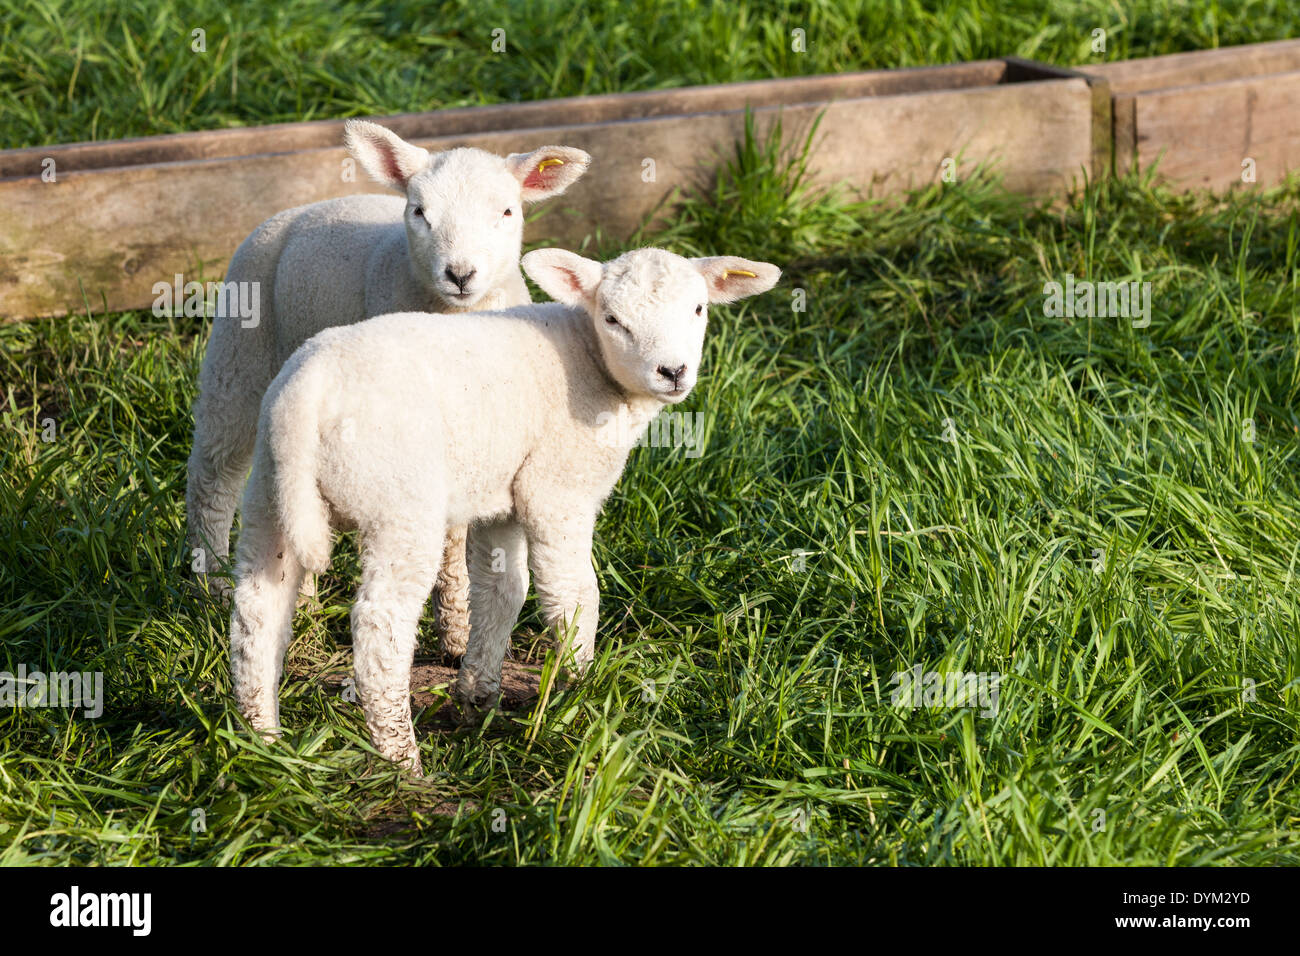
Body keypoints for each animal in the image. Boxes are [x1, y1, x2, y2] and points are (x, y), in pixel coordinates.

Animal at [186, 119, 591, 662]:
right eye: (419, 212)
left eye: (507, 211)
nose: (460, 274)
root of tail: (290, 213)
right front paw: (453, 629)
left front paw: (457, 630)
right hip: (239, 354)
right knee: (213, 471)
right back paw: (206, 582)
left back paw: (304, 601)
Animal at [228, 246, 780, 772]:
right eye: (613, 319)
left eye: (699, 309)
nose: (673, 372)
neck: (590, 359)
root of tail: (305, 397)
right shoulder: (557, 487)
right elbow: (572, 593)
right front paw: (578, 688)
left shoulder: (504, 499)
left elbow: (502, 591)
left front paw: (478, 698)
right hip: (399, 503)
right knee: (379, 627)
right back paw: (401, 758)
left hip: (268, 493)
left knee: (258, 609)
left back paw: (262, 739)